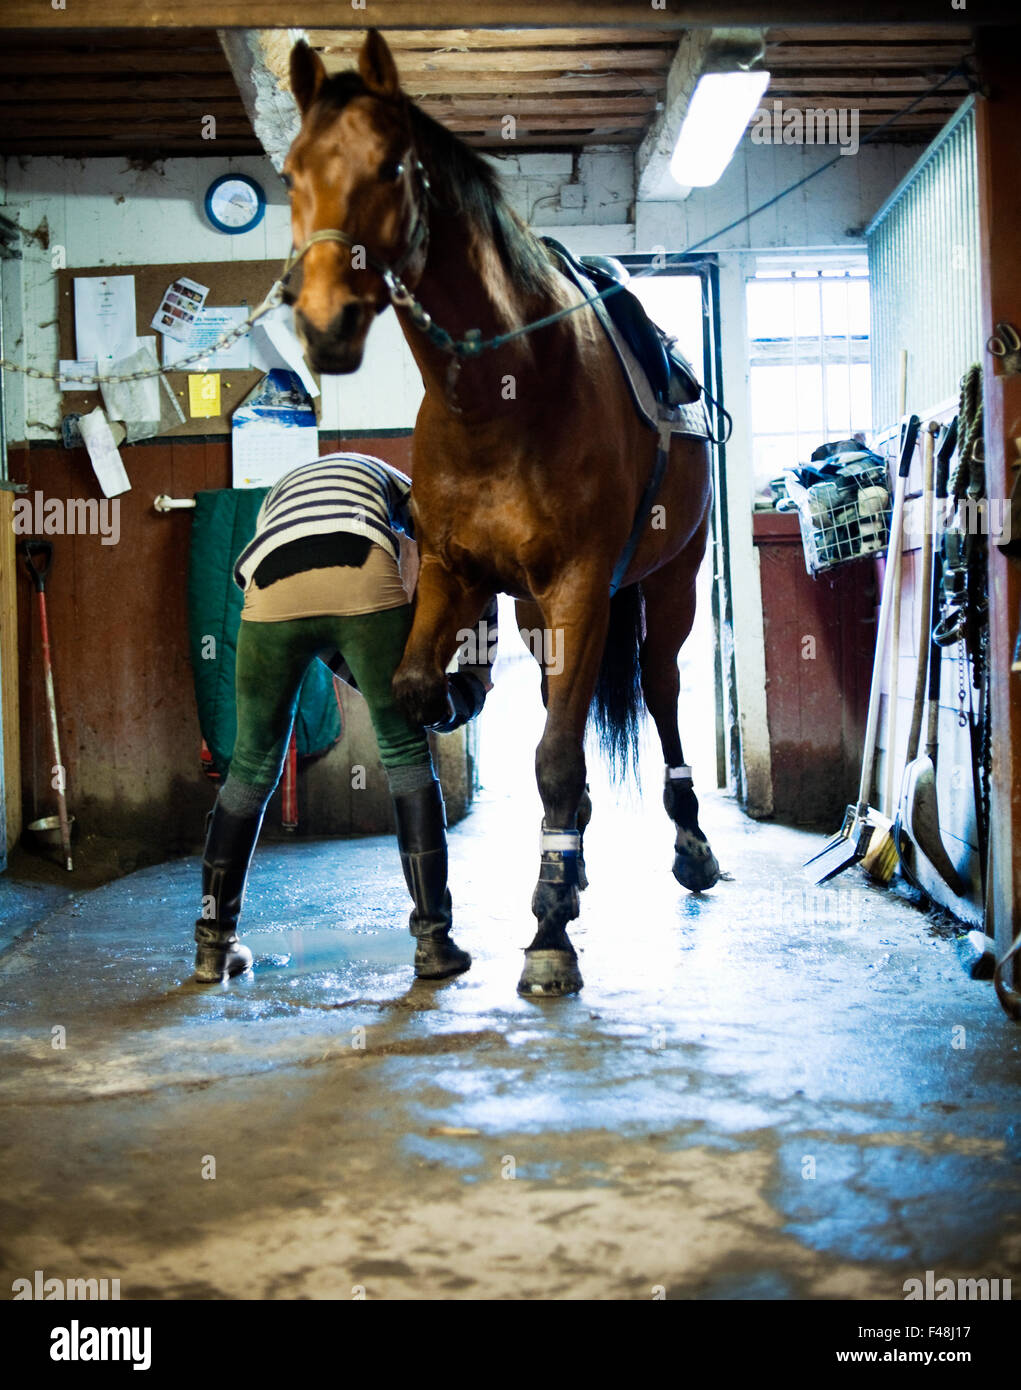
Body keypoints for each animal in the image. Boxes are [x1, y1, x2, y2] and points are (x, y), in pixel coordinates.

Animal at [282, 30, 720, 997]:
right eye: (289, 172)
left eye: (391, 165)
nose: (325, 322)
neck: (501, 396)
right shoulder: (460, 575)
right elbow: (420, 688)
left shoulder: (582, 587)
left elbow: (554, 756)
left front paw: (549, 929)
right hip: (533, 611)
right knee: (566, 699)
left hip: (669, 586)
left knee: (661, 690)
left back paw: (688, 845)